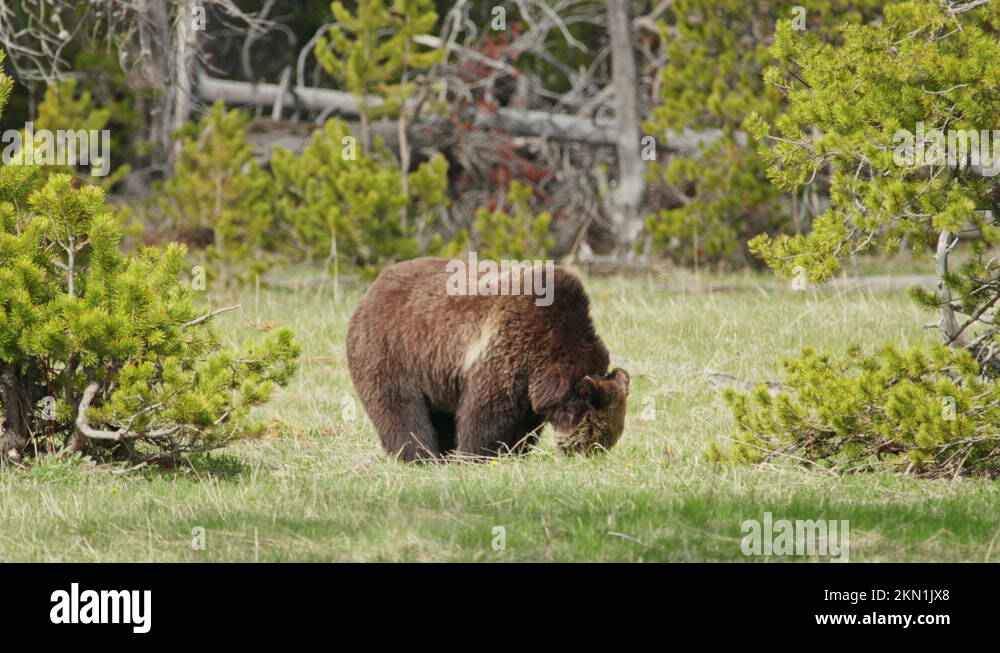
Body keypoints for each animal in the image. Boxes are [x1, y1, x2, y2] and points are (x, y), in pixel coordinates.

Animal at [346, 256, 629, 461]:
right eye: (593, 438)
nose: (587, 457)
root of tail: (373, 287)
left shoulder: (528, 388)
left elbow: (522, 426)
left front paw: (513, 452)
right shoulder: (504, 352)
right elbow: (485, 415)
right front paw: (476, 455)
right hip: (393, 350)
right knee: (400, 408)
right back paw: (418, 456)